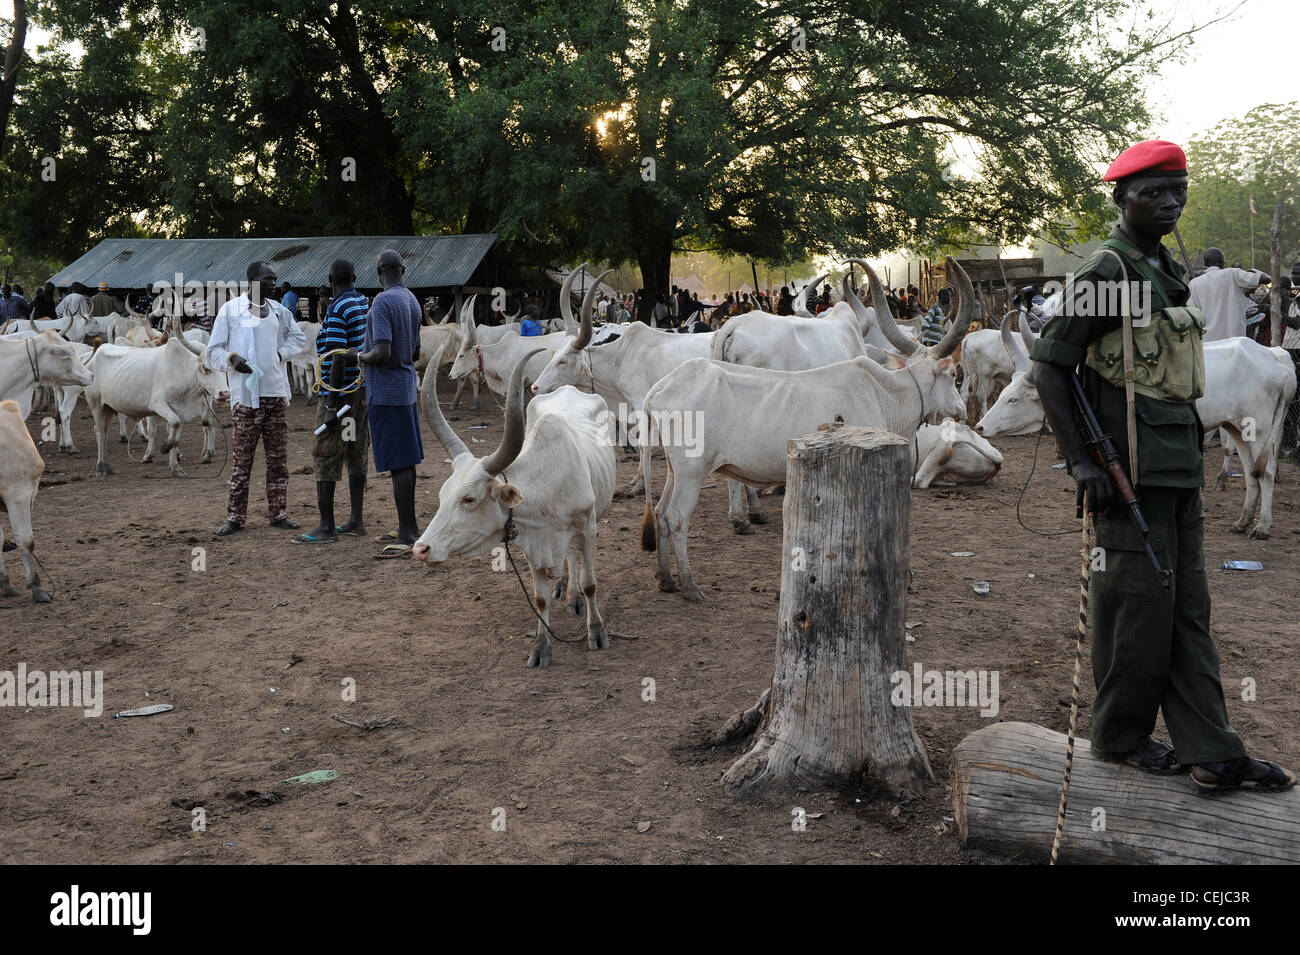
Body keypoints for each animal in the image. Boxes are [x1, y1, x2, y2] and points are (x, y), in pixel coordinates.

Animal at [84, 334, 229, 478]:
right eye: (206, 368)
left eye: (225, 369)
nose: (225, 393)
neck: (182, 370)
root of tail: (93, 359)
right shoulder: (157, 405)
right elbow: (167, 425)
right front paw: (163, 449)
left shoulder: (180, 411)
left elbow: (175, 435)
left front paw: (175, 467)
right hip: (96, 404)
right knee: (100, 431)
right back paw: (101, 467)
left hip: (108, 407)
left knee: (104, 431)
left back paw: (107, 466)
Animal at [414, 351, 616, 668]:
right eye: (442, 494)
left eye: (469, 499)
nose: (420, 549)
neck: (548, 485)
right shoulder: (532, 543)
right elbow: (540, 598)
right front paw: (541, 647)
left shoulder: (589, 530)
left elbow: (590, 583)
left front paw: (596, 632)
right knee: (569, 557)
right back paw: (567, 592)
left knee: (574, 556)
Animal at [640, 257, 974, 600]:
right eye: (951, 374)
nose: (962, 411)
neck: (888, 394)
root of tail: (661, 388)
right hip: (692, 471)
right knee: (676, 517)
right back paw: (690, 585)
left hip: (674, 470)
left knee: (661, 514)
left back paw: (666, 579)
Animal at [975, 320, 1297, 539]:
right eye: (1005, 393)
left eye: (1013, 399)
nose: (980, 426)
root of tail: (1277, 359)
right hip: (1239, 429)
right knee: (1252, 473)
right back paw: (1242, 522)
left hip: (1261, 428)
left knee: (1267, 473)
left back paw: (1262, 527)